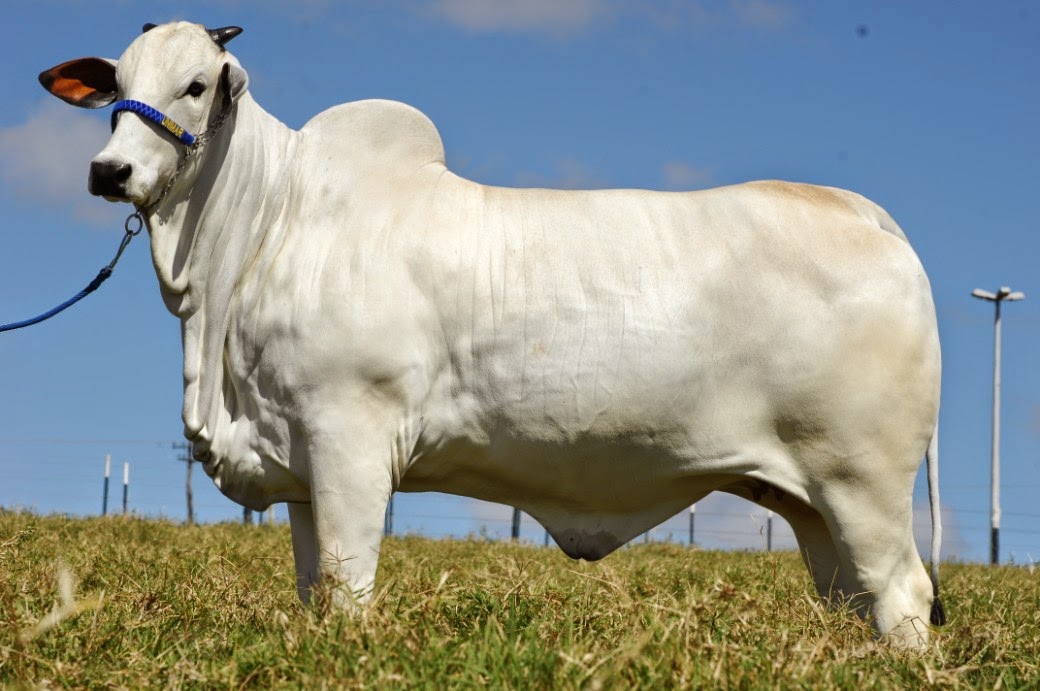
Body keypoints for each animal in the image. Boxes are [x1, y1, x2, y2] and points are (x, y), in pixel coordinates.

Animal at [40, 21, 944, 647]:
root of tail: (863, 213)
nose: (110, 172)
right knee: (851, 596)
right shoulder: (295, 459)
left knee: (902, 593)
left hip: (862, 477)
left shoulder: (349, 436)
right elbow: (313, 587)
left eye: (195, 85)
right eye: (118, 85)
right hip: (808, 498)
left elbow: (348, 584)